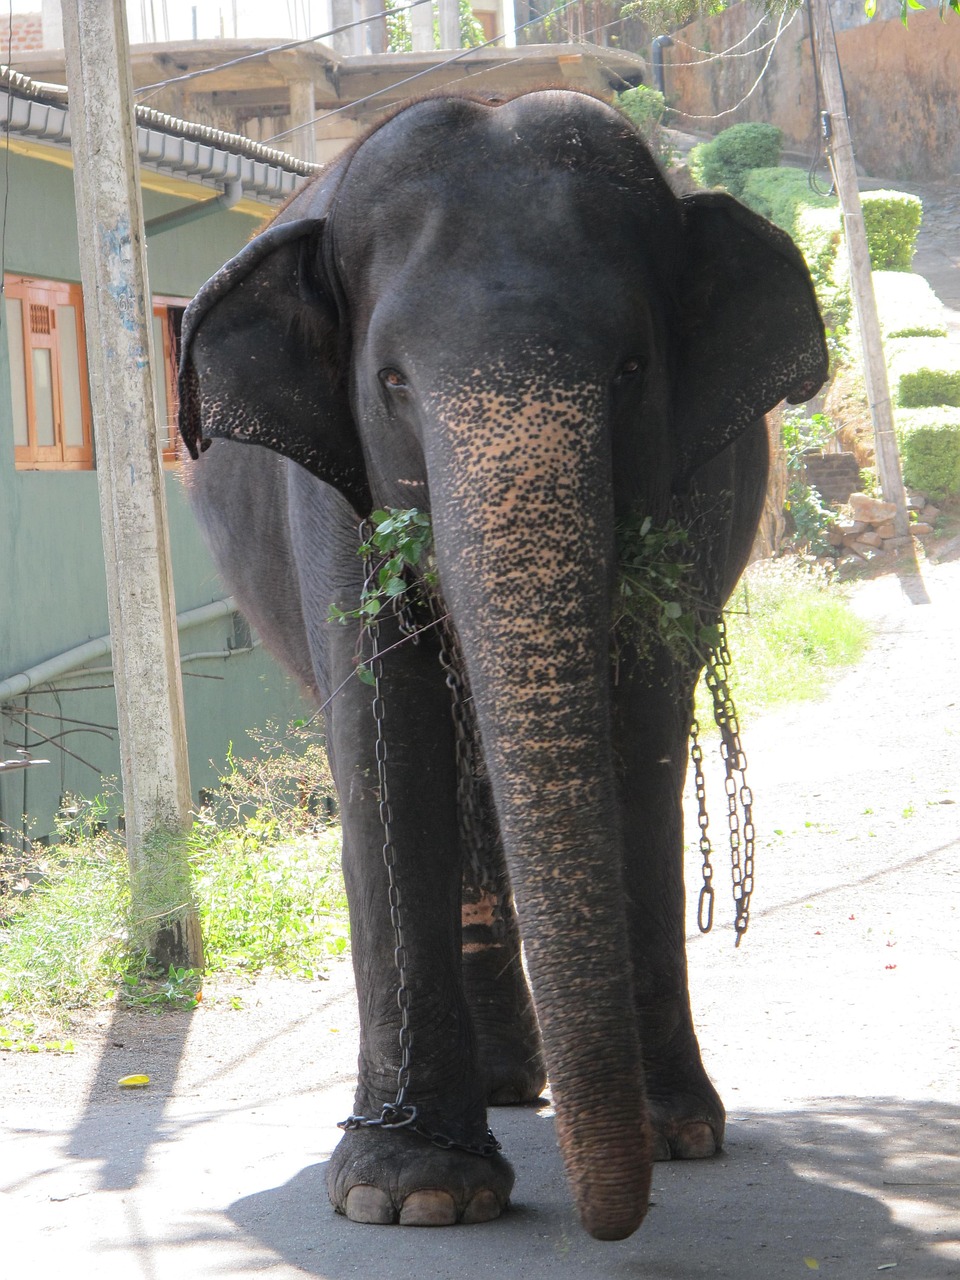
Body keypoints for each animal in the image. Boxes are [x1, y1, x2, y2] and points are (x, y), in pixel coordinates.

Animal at [178, 88, 827, 1241]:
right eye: (391, 383)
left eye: (631, 370)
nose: (611, 1222)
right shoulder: (333, 498)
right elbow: (386, 738)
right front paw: (412, 1195)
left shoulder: (691, 489)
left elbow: (641, 734)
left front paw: (677, 1134)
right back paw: (497, 1097)